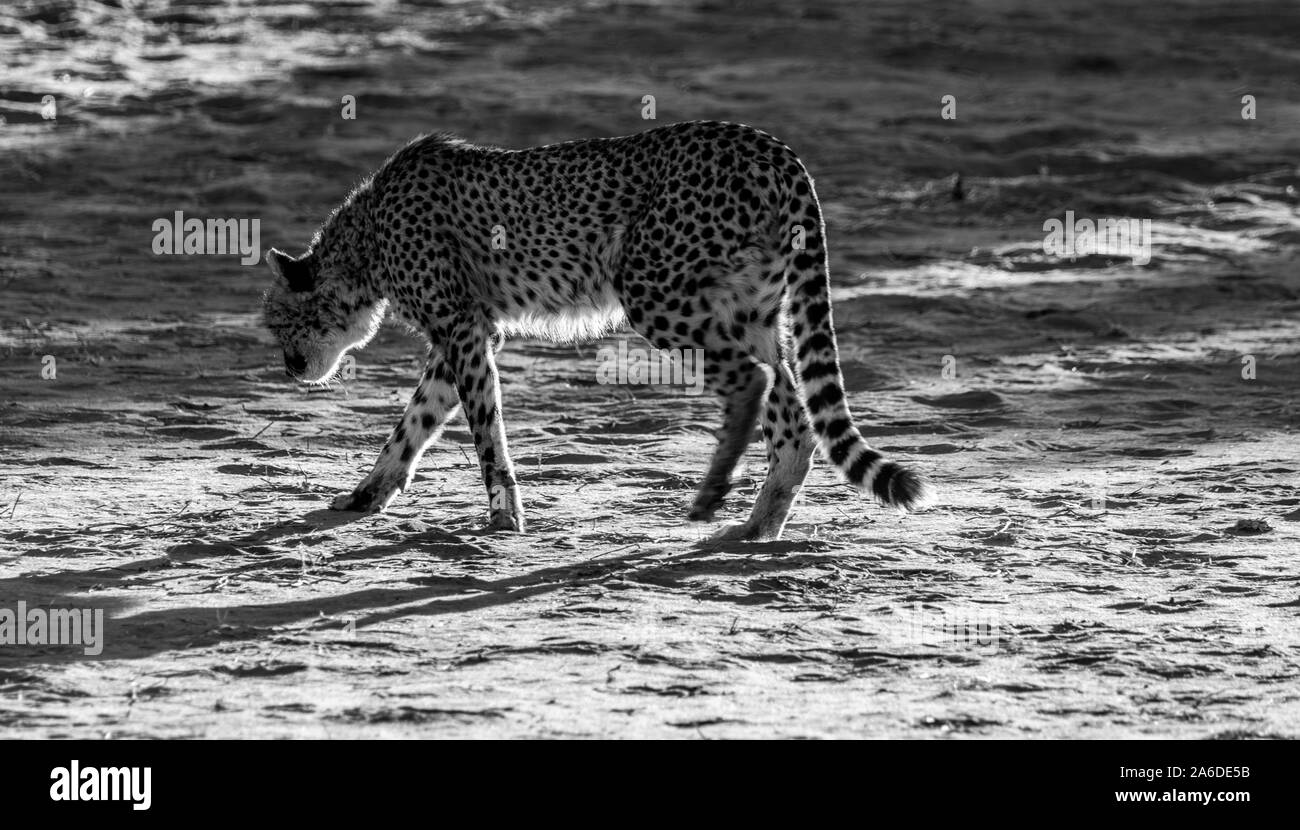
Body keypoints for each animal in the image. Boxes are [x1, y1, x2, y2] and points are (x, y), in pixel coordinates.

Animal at [262, 120, 931, 541]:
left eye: (278, 322)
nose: (291, 368)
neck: (366, 236)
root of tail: (768, 146)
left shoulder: (461, 328)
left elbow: (482, 427)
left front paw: (504, 517)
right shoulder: (472, 330)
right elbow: (416, 421)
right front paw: (366, 495)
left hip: (653, 291)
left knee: (752, 380)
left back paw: (713, 495)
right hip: (752, 310)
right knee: (793, 412)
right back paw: (757, 524)